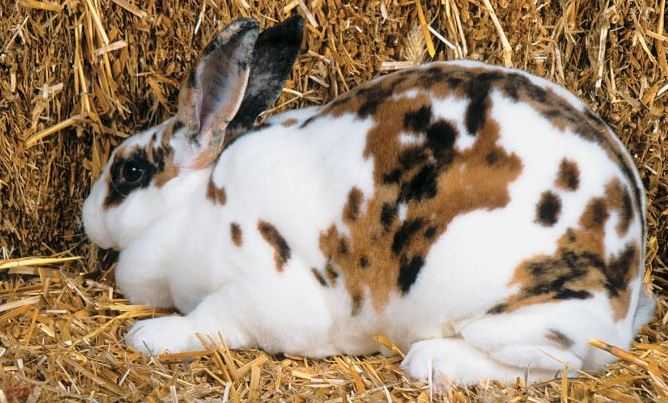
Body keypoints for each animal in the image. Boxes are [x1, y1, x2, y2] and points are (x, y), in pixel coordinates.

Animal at [82, 15, 655, 387]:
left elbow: (202, 324)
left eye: (129, 171)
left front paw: (147, 334)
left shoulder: (253, 297)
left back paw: (430, 361)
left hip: (521, 320)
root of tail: (626, 299)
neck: (191, 211)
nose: (87, 217)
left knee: (554, 363)